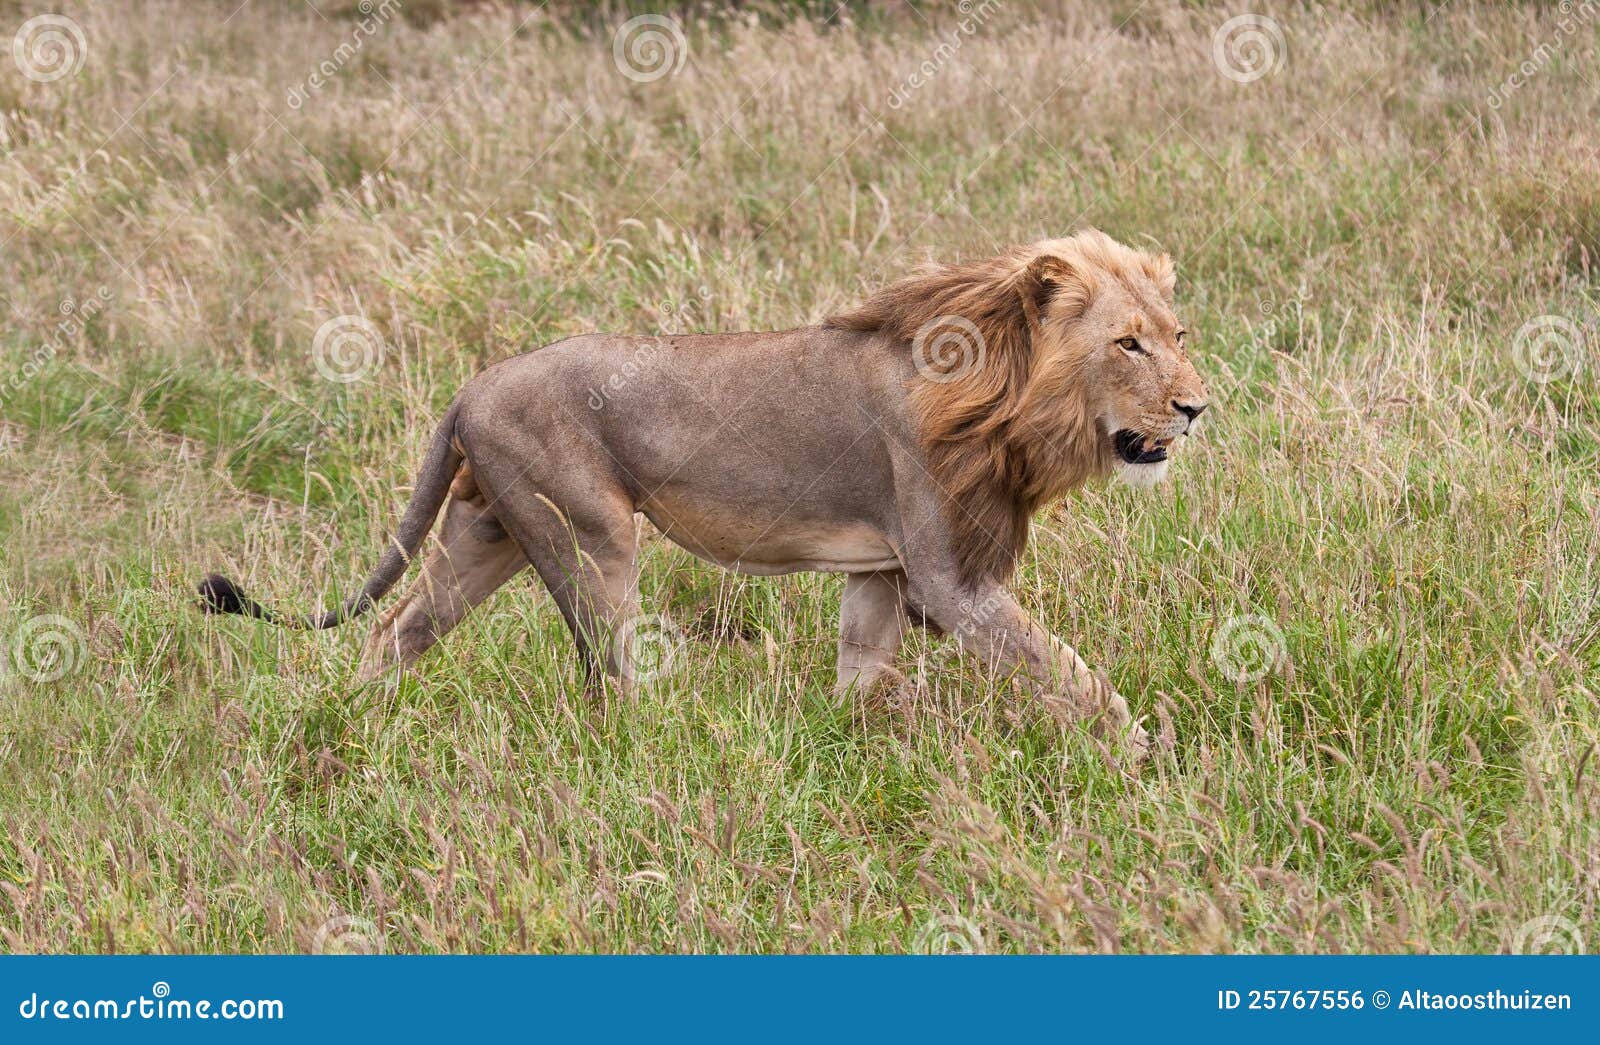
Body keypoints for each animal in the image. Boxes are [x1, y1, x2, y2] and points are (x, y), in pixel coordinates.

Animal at [198, 228, 1207, 758]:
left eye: (1179, 332)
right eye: (1127, 343)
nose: (1197, 408)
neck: (1007, 393)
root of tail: (469, 387)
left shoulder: (880, 570)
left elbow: (861, 672)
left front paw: (850, 745)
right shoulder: (950, 578)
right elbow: (1075, 674)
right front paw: (1147, 753)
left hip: (490, 532)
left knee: (397, 629)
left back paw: (352, 724)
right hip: (591, 536)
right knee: (609, 672)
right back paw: (649, 750)